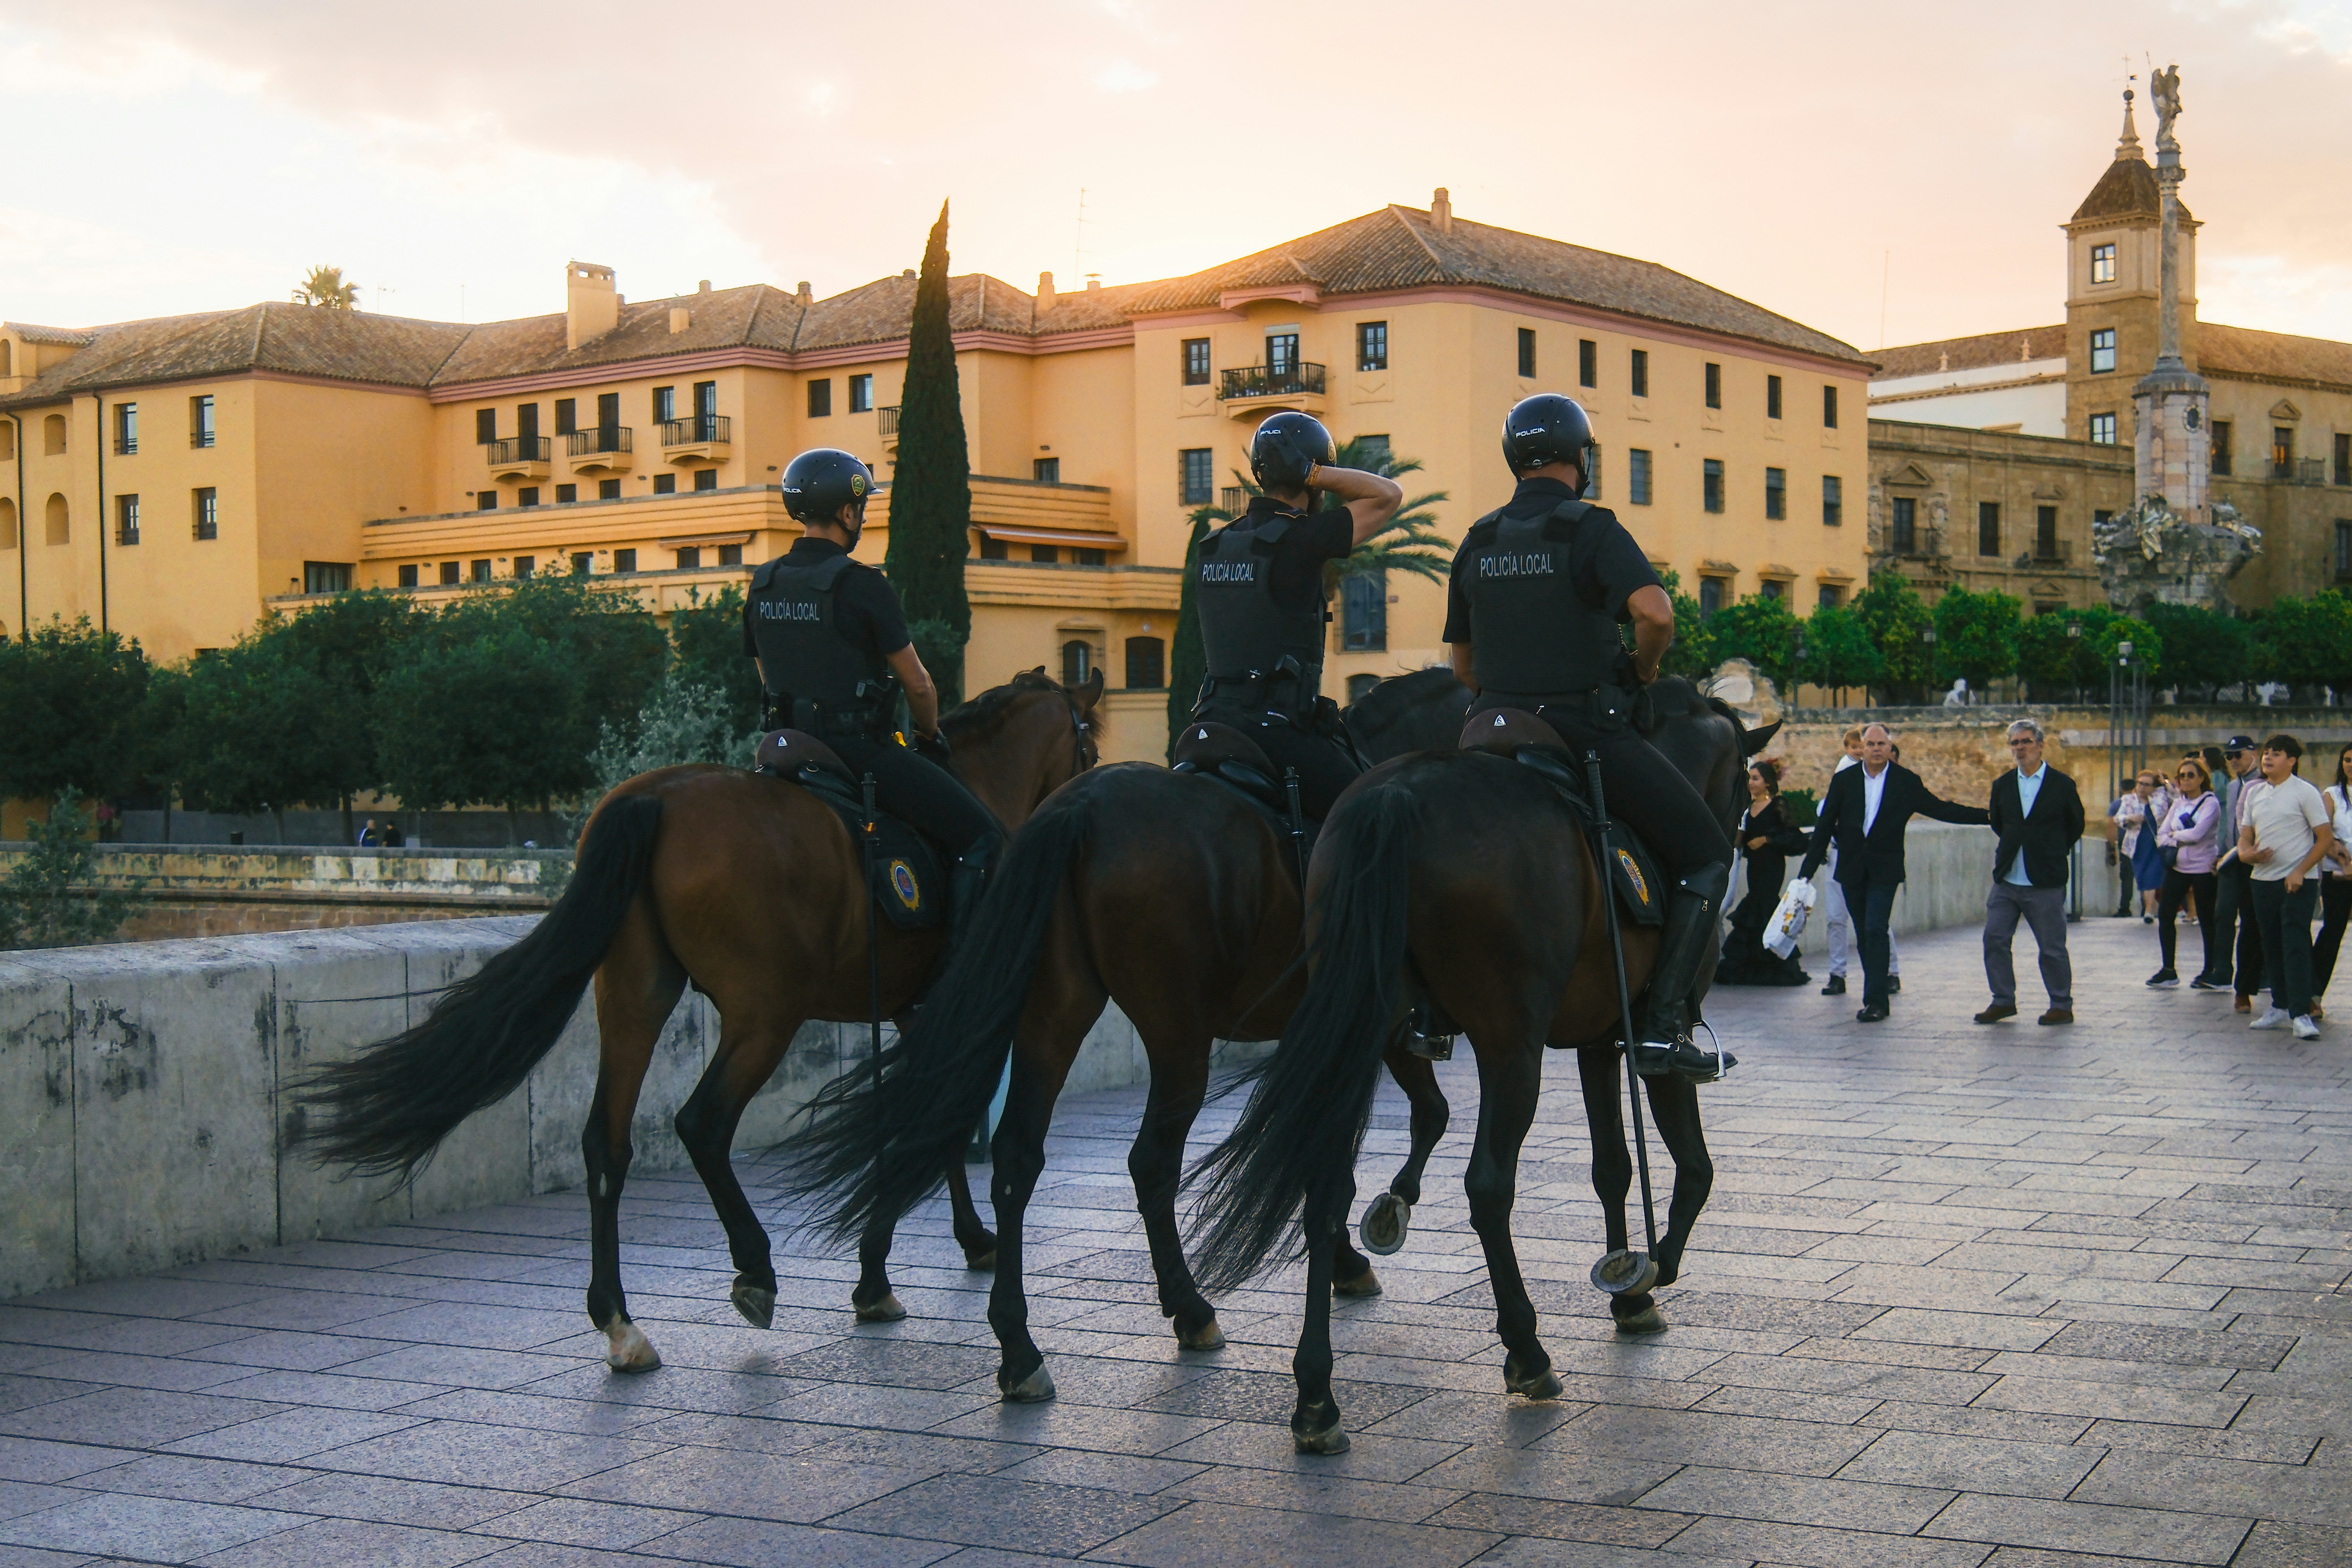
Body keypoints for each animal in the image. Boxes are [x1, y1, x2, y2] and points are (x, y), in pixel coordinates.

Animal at [293, 669, 1102, 1374]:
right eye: (1089, 745)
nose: (1091, 784)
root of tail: (655, 799)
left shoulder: (917, 1012)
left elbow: (923, 1124)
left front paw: (901, 1263)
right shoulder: (936, 1010)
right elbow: (932, 1123)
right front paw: (915, 1259)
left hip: (634, 993)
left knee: (605, 1142)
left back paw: (620, 1323)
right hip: (765, 1013)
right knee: (703, 1124)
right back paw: (754, 1269)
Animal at [780, 700, 1465, 1402]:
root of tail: (1079, 809)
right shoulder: (1375, 1025)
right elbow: (1415, 1121)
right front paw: (1380, 1224)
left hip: (1055, 1016)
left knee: (1013, 1154)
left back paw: (1015, 1345)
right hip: (1178, 1035)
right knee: (1150, 1163)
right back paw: (1189, 1310)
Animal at [1184, 684, 1770, 1453]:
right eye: (1742, 782)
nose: (1740, 844)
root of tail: (1397, 795)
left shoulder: (1596, 1040)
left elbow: (1613, 1167)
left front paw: (1628, 1289)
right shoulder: (1649, 1044)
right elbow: (1695, 1168)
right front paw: (1652, 1272)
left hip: (1364, 1024)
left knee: (1326, 1187)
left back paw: (1316, 1397)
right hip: (1508, 1047)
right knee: (1489, 1187)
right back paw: (1527, 1352)